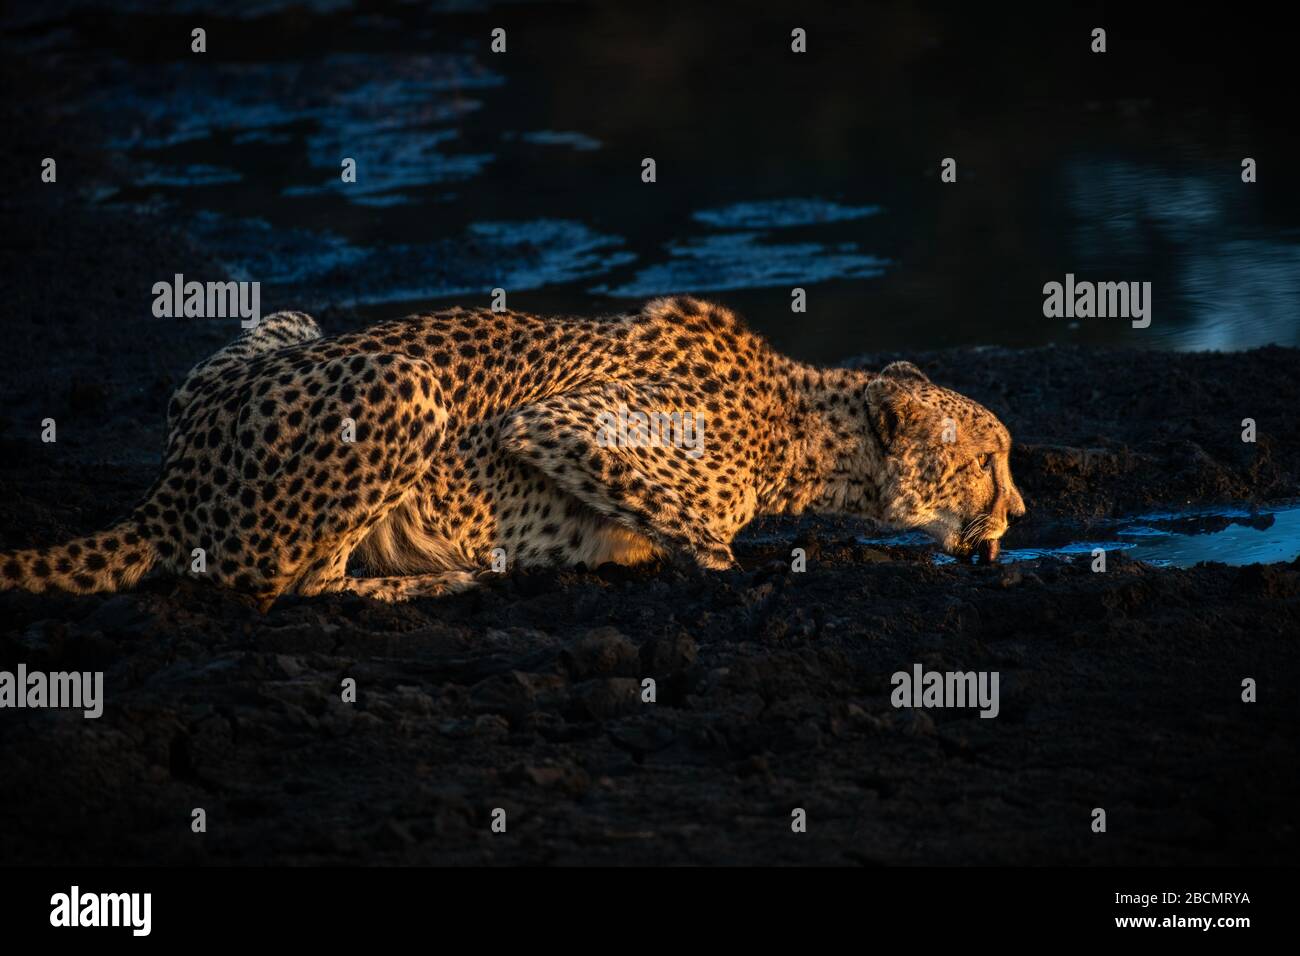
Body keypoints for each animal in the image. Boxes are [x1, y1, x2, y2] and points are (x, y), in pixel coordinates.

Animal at [0, 295, 1025, 611]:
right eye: (984, 460)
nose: (1017, 512)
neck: (802, 422)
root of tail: (172, 484)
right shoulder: (556, 426)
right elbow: (710, 544)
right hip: (403, 381)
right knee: (276, 582)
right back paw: (437, 579)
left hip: (291, 322)